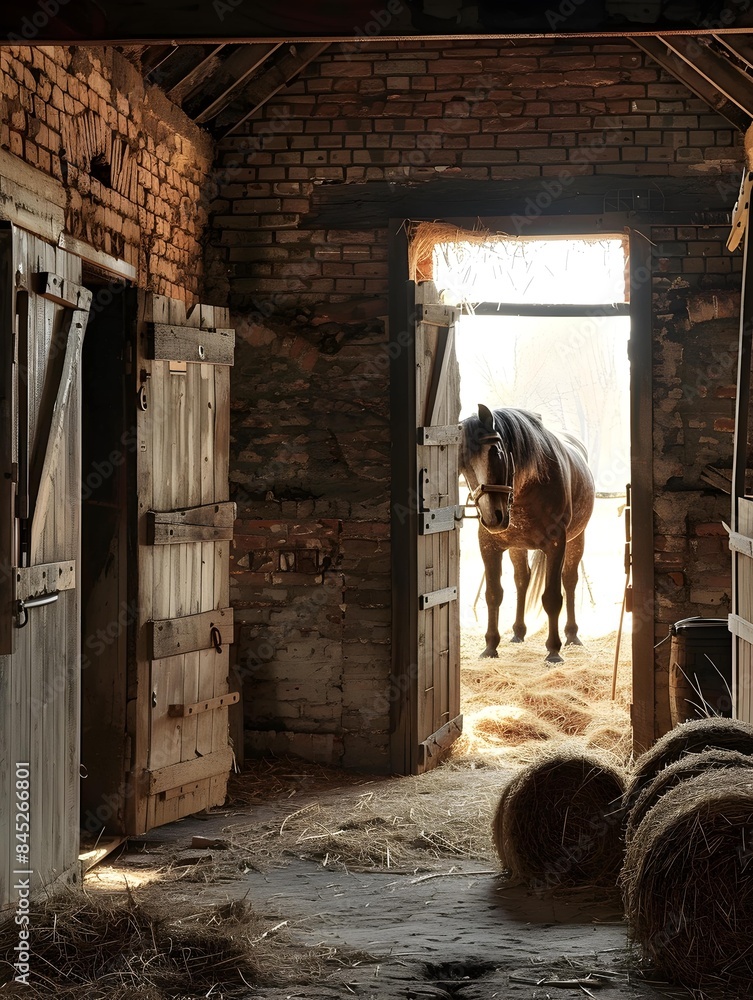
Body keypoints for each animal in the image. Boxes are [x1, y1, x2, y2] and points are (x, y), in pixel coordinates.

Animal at [459, 404, 595, 664]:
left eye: (495, 452)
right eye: (462, 463)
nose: (493, 517)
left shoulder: (556, 544)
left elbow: (552, 598)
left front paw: (553, 650)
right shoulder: (489, 546)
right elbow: (493, 594)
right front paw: (490, 646)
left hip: (577, 539)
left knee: (569, 581)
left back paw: (572, 635)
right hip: (517, 547)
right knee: (522, 579)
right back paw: (518, 632)